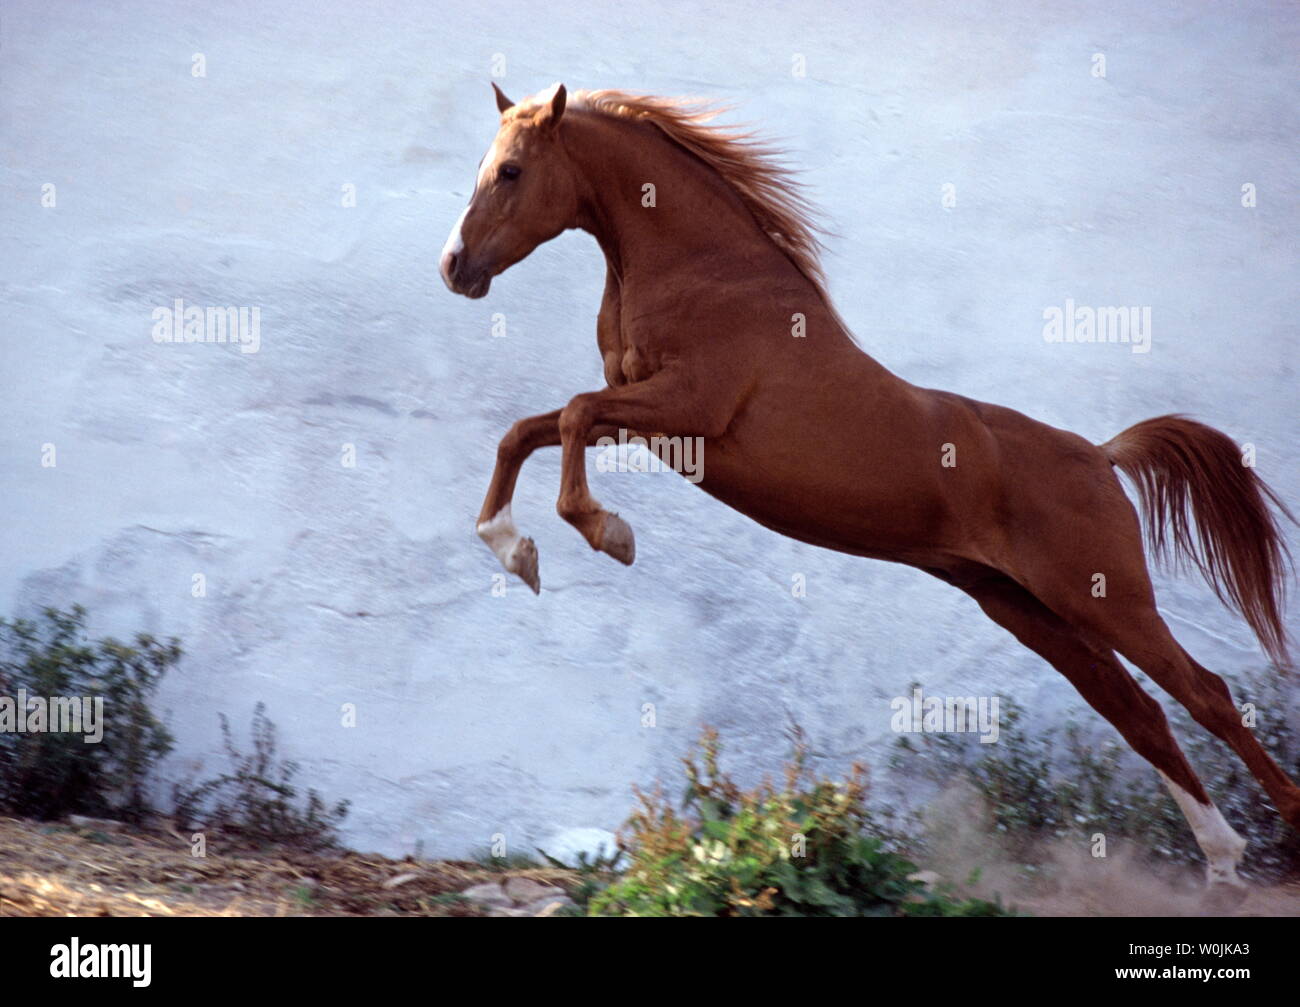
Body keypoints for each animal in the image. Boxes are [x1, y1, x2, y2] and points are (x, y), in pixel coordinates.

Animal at [439, 82, 1297, 891]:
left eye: (511, 171)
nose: (454, 266)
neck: (709, 275)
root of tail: (1101, 454)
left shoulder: (686, 407)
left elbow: (571, 417)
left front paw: (606, 533)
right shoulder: (648, 423)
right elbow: (528, 429)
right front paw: (514, 550)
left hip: (1106, 598)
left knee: (1206, 693)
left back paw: (1271, 832)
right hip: (1030, 610)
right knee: (1140, 713)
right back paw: (1222, 861)